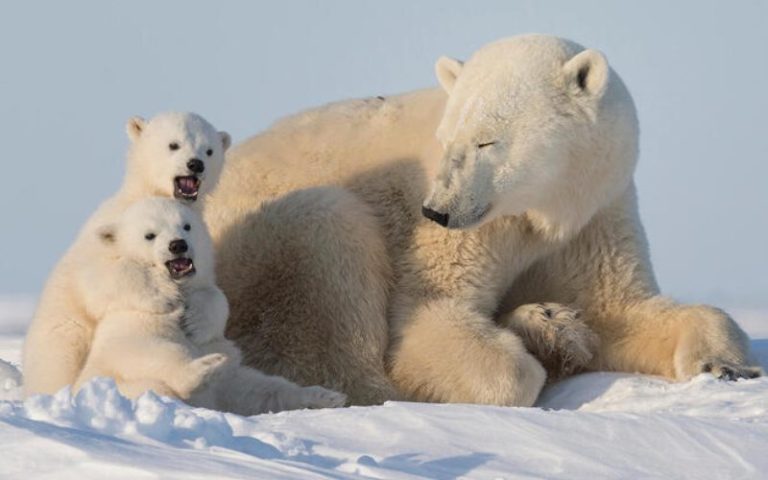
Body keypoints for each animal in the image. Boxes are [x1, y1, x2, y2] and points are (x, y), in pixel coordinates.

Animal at [23, 112, 231, 396]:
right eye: (174, 144)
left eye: (209, 150)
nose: (195, 164)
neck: (145, 194)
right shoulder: (108, 231)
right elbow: (100, 278)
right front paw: (164, 295)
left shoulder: (202, 244)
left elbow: (213, 291)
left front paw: (196, 321)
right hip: (60, 346)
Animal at [74, 198, 347, 413]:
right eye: (149, 235)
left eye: (186, 225)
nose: (178, 245)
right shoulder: (131, 332)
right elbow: (152, 351)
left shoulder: (220, 362)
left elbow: (250, 390)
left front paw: (195, 321)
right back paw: (206, 367)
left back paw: (327, 396)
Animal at [203, 34, 761, 407]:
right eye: (447, 137)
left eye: (487, 141)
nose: (436, 209)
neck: (541, 208)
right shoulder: (465, 233)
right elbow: (430, 320)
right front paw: (535, 353)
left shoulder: (595, 212)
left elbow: (621, 309)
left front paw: (725, 365)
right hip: (251, 252)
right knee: (326, 239)